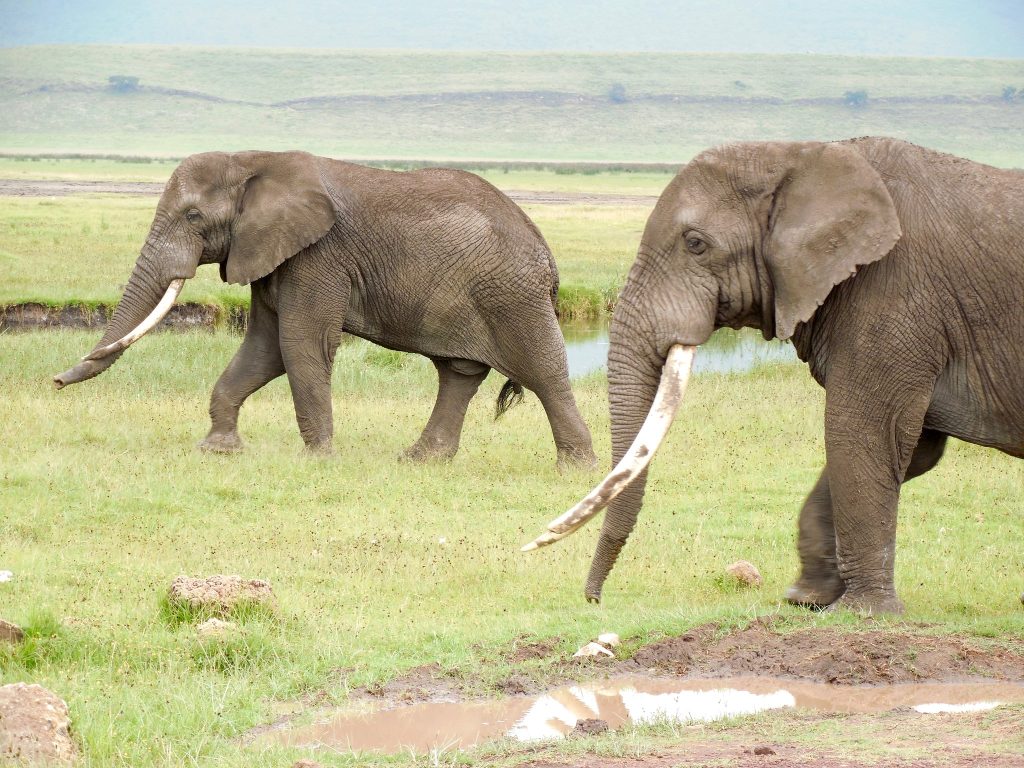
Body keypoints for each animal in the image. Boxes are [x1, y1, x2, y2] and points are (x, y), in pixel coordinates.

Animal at [53, 151, 598, 468]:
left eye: (192, 216)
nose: (56, 381)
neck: (254, 161)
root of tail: (546, 250)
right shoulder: (271, 252)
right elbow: (265, 349)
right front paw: (218, 450)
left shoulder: (318, 256)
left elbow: (301, 343)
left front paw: (318, 459)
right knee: (458, 373)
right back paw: (419, 460)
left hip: (514, 295)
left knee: (543, 371)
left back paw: (577, 469)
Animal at [525, 137, 1024, 614]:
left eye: (695, 243)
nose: (593, 600)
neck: (801, 156)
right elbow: (912, 448)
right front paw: (807, 598)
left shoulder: (894, 291)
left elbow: (863, 434)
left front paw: (862, 613)